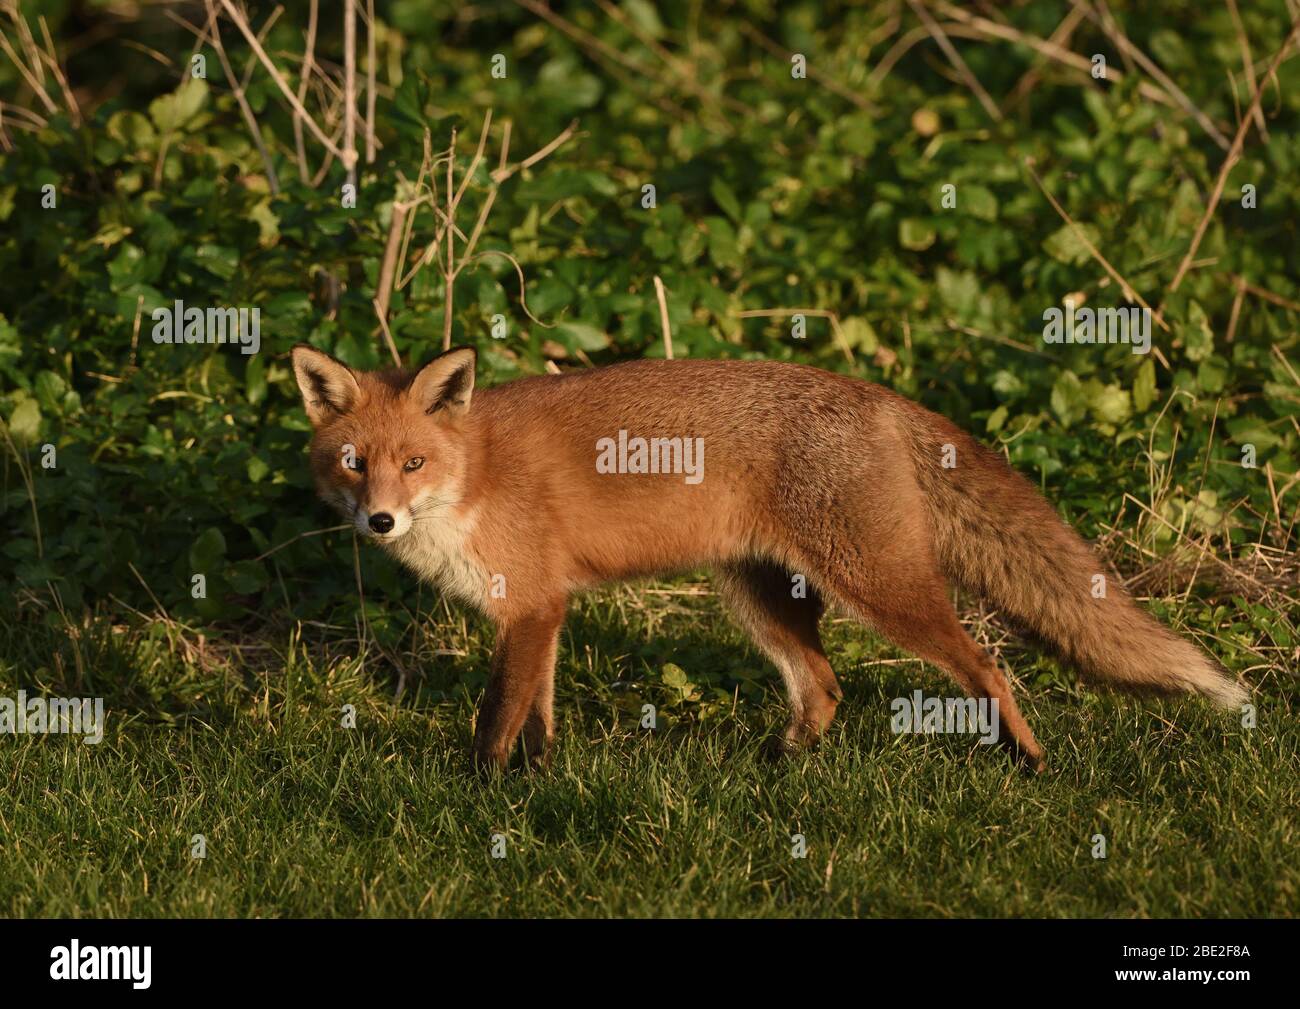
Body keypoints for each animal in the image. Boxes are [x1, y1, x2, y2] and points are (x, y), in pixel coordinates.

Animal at [291, 344, 1248, 773]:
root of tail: (875, 393)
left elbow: (495, 720)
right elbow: (538, 717)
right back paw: (778, 768)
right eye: (355, 461)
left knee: (985, 664)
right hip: (759, 597)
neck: (475, 475)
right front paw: (536, 785)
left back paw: (1029, 762)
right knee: (824, 687)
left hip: (878, 587)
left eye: (414, 463)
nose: (379, 520)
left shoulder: (529, 607)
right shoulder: (541, 611)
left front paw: (479, 796)